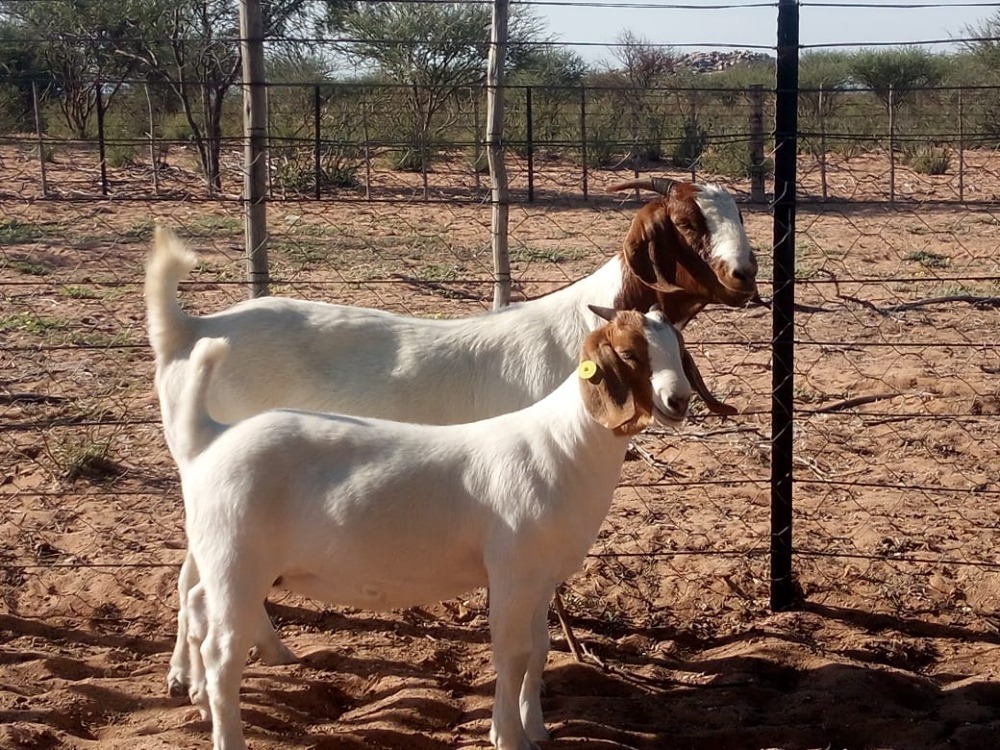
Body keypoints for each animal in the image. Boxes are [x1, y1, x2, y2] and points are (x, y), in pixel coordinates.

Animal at [148, 178, 757, 695]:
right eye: (688, 222)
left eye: (738, 213)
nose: (745, 275)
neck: (575, 333)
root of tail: (193, 330)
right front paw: (572, 651)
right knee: (195, 576)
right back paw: (189, 672)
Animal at [175, 307, 734, 750]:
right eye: (630, 353)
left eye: (678, 348)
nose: (678, 401)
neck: (562, 445)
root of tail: (209, 438)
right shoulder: (511, 572)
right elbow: (511, 653)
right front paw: (508, 737)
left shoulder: (539, 578)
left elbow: (539, 649)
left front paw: (536, 729)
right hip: (238, 564)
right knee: (223, 652)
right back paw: (224, 728)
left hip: (225, 563)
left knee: (199, 606)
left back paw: (198, 698)